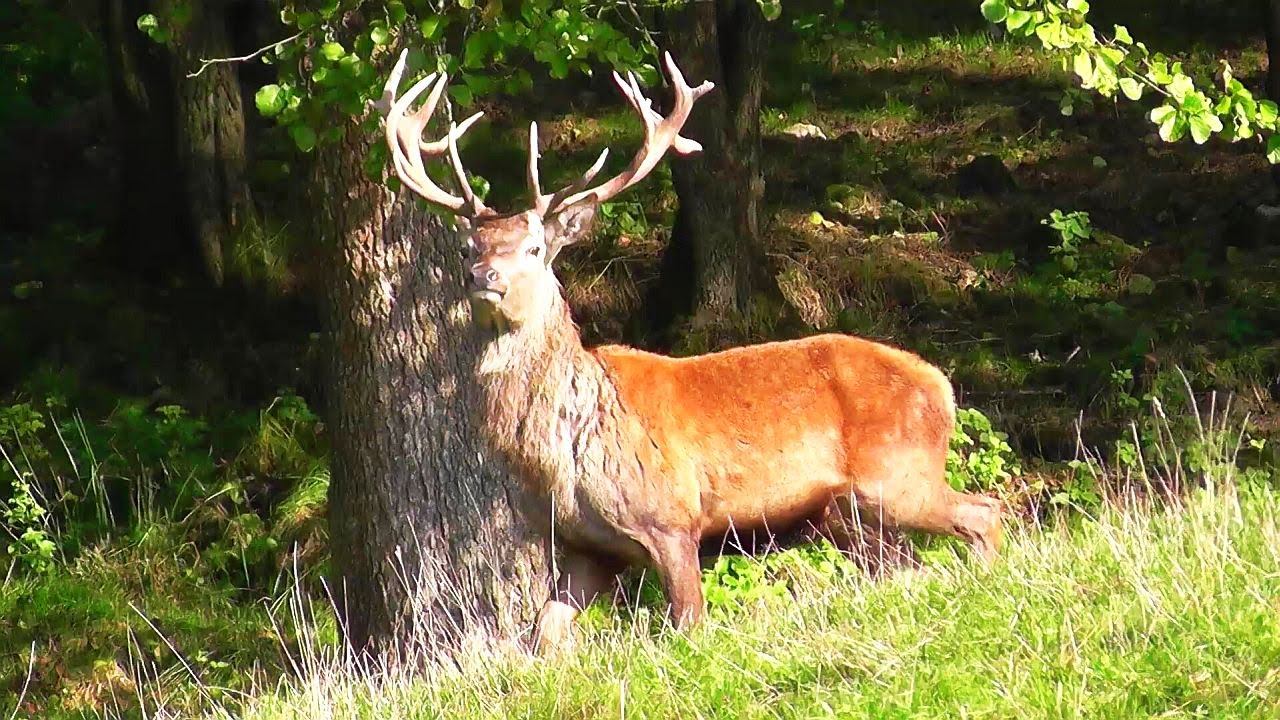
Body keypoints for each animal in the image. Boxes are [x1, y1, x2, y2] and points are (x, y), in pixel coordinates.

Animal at [375, 48, 1004, 654]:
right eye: (468, 248)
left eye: (533, 248)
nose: (485, 276)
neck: (567, 446)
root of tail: (942, 386)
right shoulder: (584, 547)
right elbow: (543, 636)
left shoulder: (671, 519)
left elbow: (688, 625)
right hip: (849, 514)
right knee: (912, 561)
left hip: (896, 475)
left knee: (985, 511)